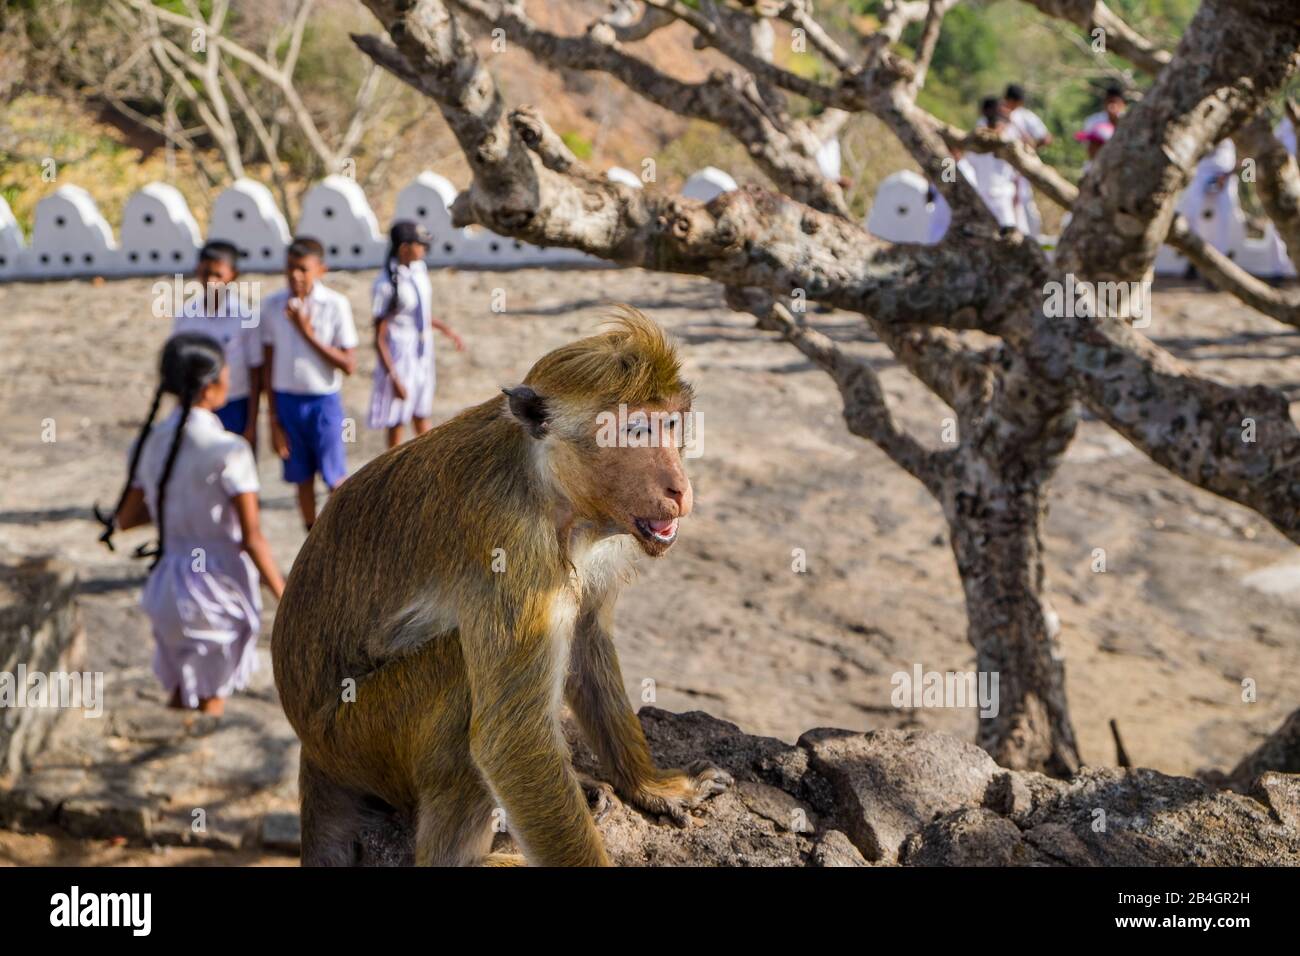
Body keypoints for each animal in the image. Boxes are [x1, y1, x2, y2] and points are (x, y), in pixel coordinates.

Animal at [272, 306, 731, 866]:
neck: (546, 483)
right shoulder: (508, 545)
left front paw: (650, 784)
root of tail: (309, 748)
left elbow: (585, 636)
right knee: (458, 679)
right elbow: (512, 743)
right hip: (356, 738)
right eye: (636, 429)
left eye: (670, 425)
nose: (679, 487)